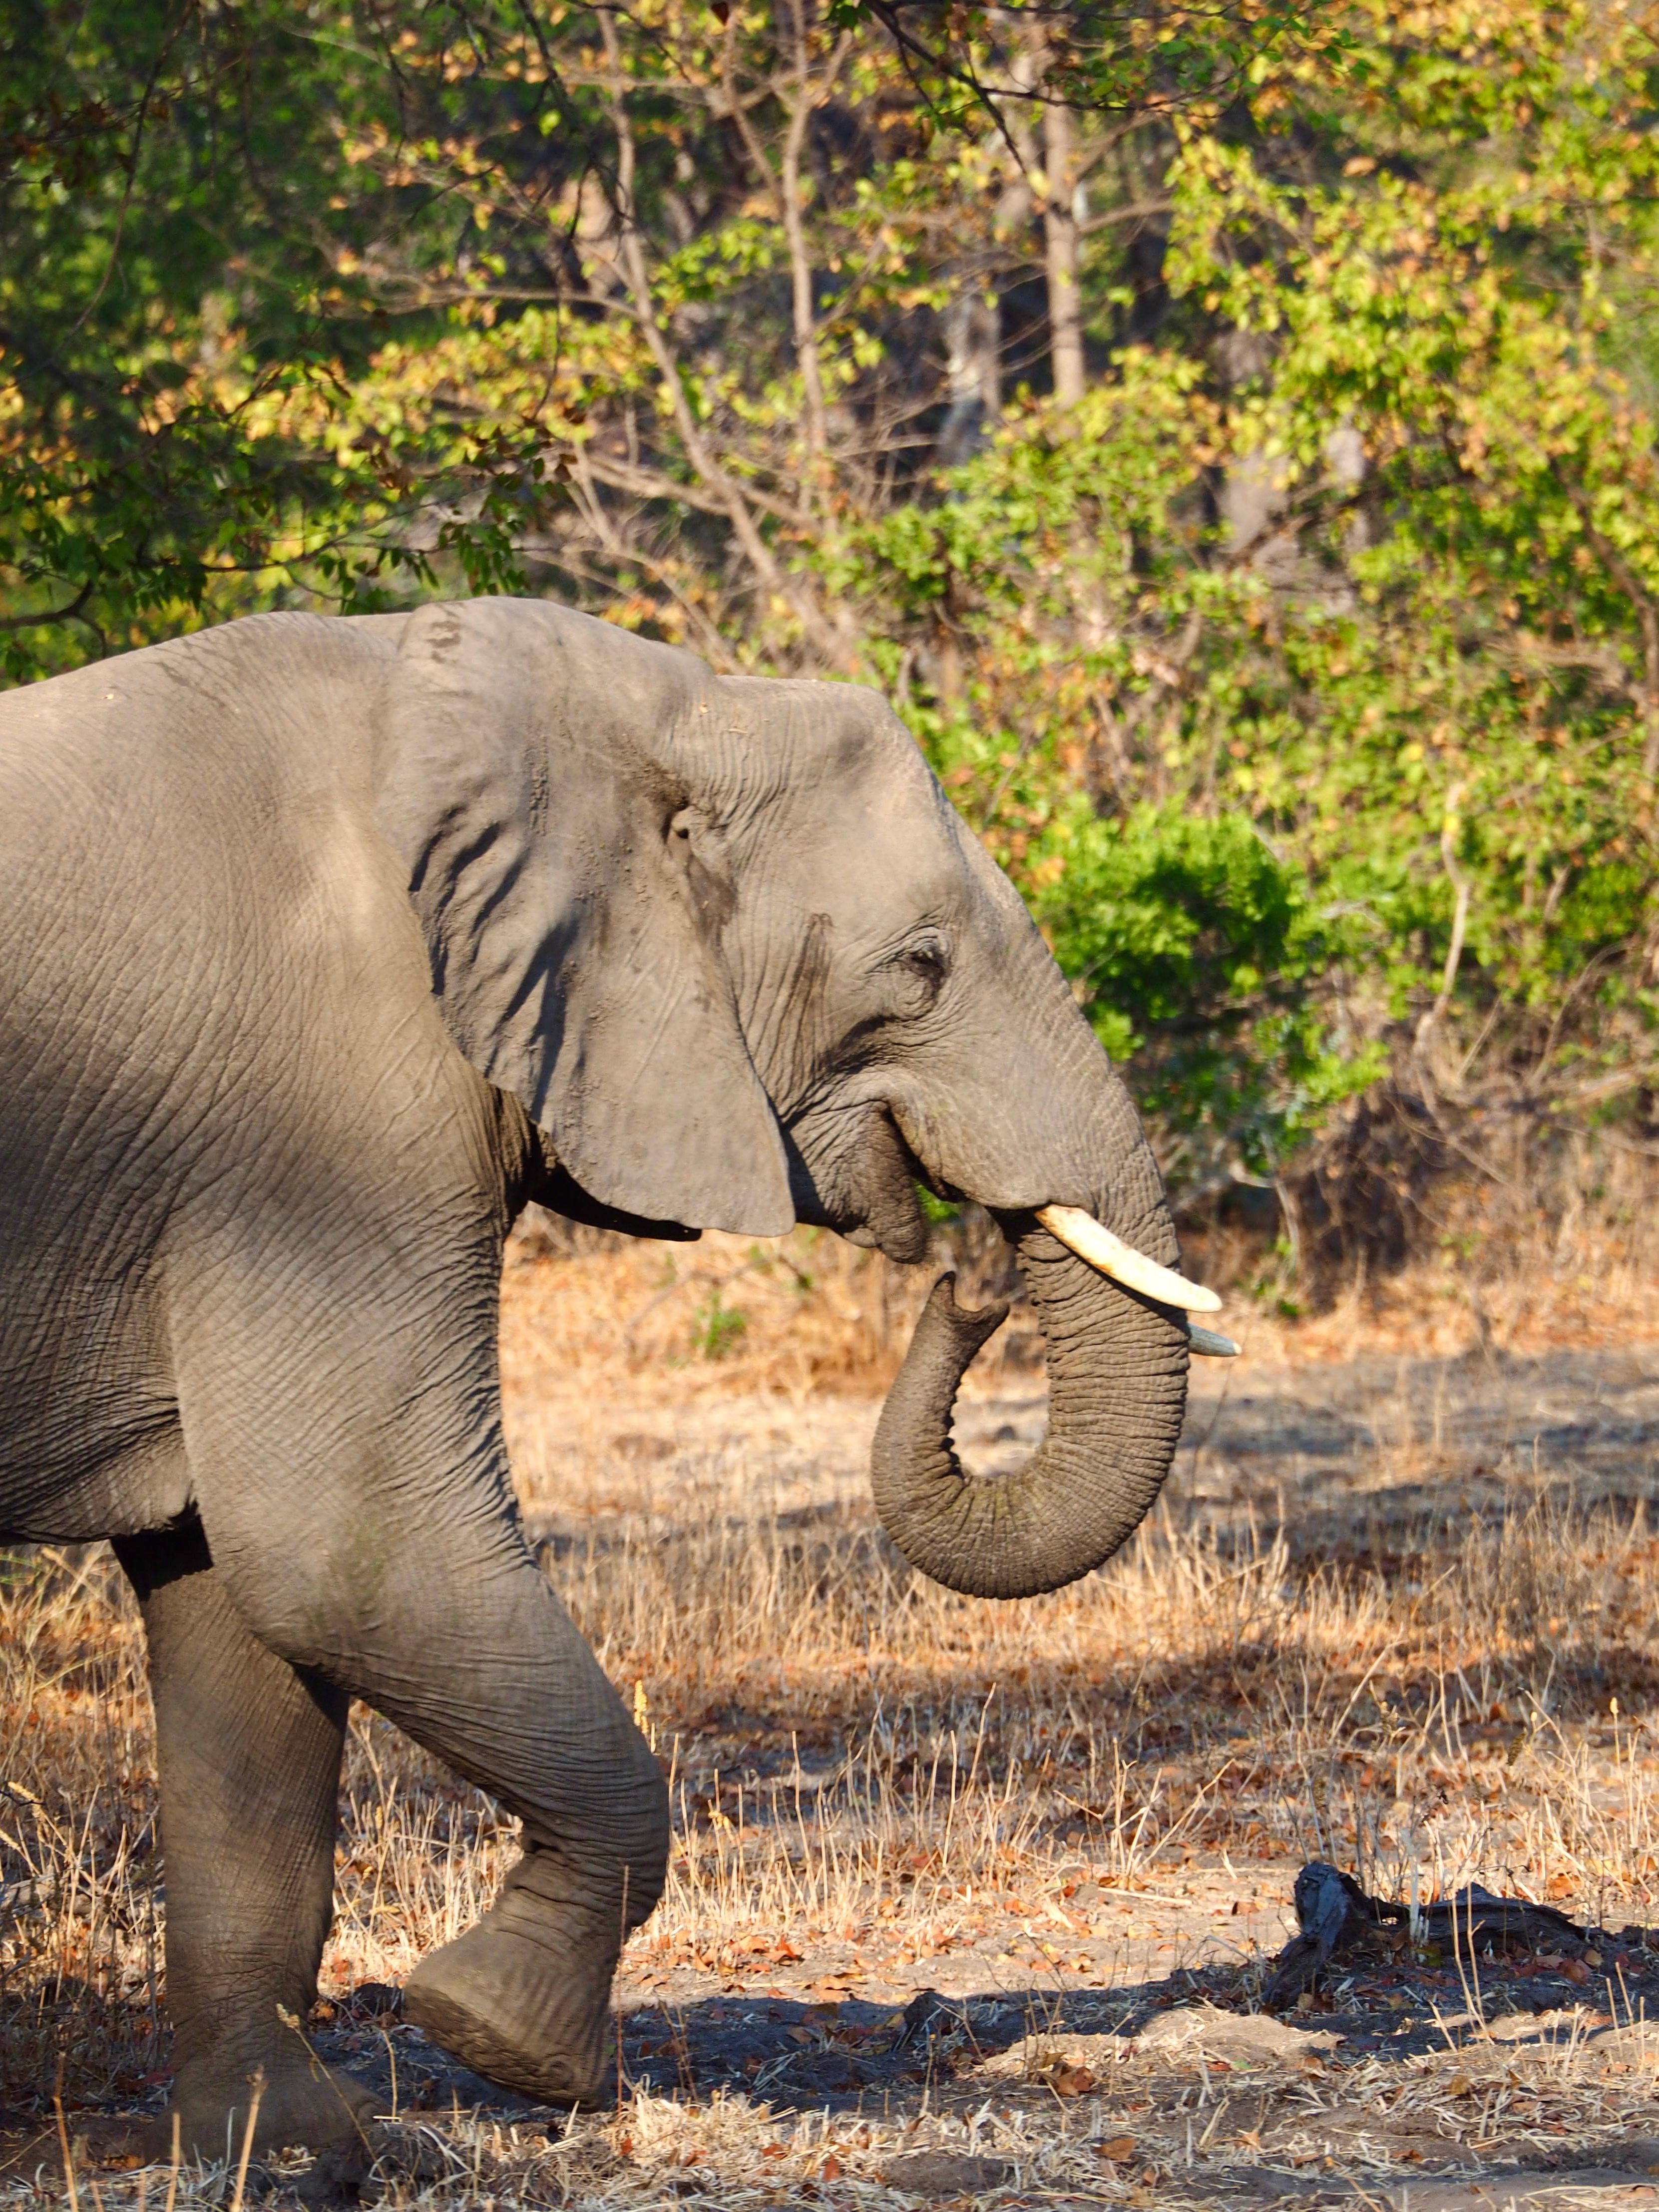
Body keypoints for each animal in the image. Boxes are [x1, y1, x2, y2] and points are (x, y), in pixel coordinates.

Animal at [0, 596, 1224, 2162]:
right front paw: (501, 2039)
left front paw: (301, 2149)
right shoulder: (327, 1123)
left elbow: (242, 1611)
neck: (636, 706)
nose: (970, 1274)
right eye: (919, 967)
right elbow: (348, 1552)